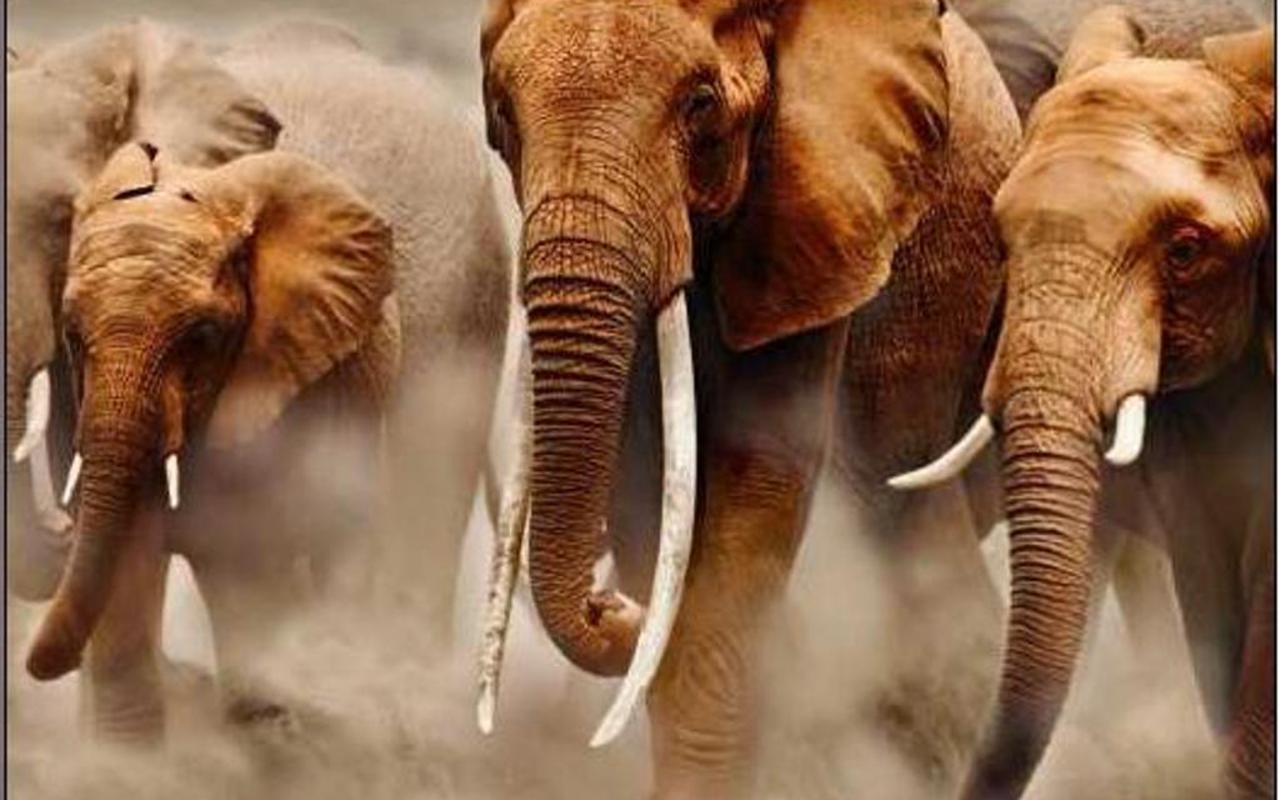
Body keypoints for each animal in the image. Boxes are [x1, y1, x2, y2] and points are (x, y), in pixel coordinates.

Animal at [472, 0, 1025, 795]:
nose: (613, 607)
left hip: (947, 265)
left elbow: (756, 474)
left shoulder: (817, 207)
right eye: (502, 112)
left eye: (700, 103)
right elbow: (650, 488)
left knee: (895, 498)